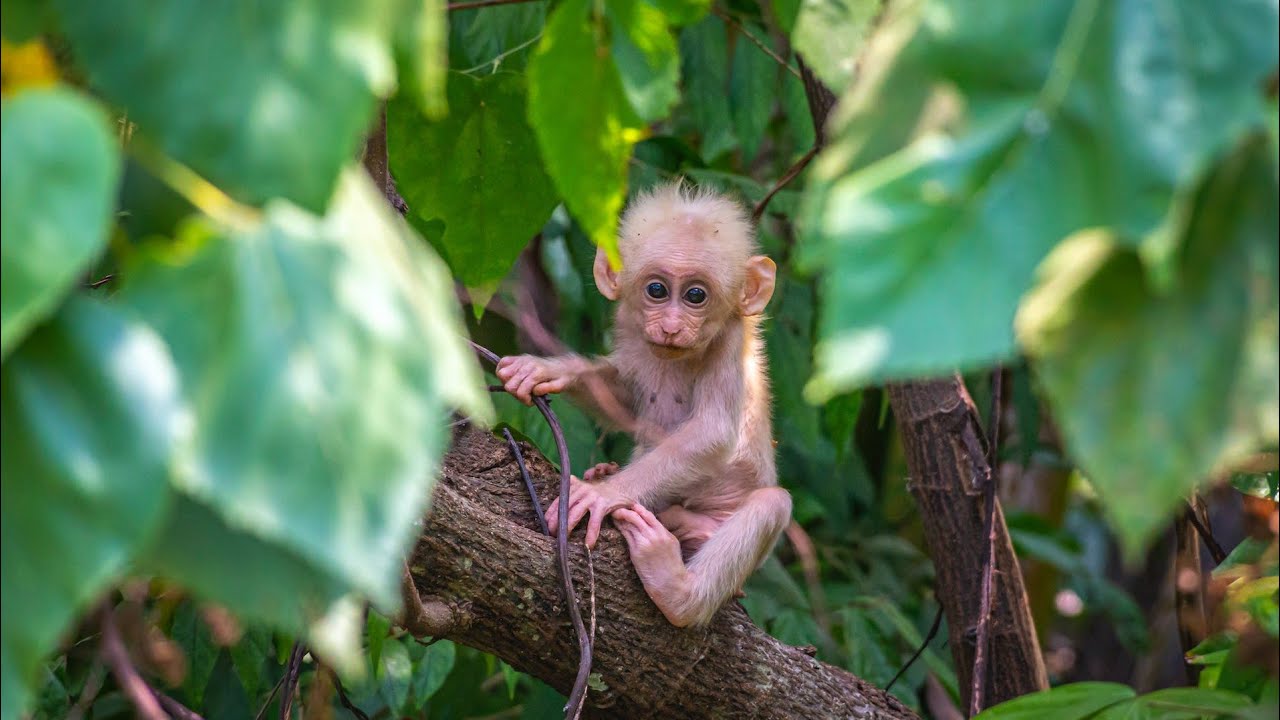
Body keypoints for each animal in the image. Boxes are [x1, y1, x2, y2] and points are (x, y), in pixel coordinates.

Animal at [495, 182, 791, 628]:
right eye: (657, 290)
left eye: (696, 295)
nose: (670, 327)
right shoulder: (632, 328)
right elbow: (626, 399)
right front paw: (549, 370)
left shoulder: (731, 341)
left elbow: (713, 431)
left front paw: (603, 494)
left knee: (773, 502)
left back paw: (677, 590)